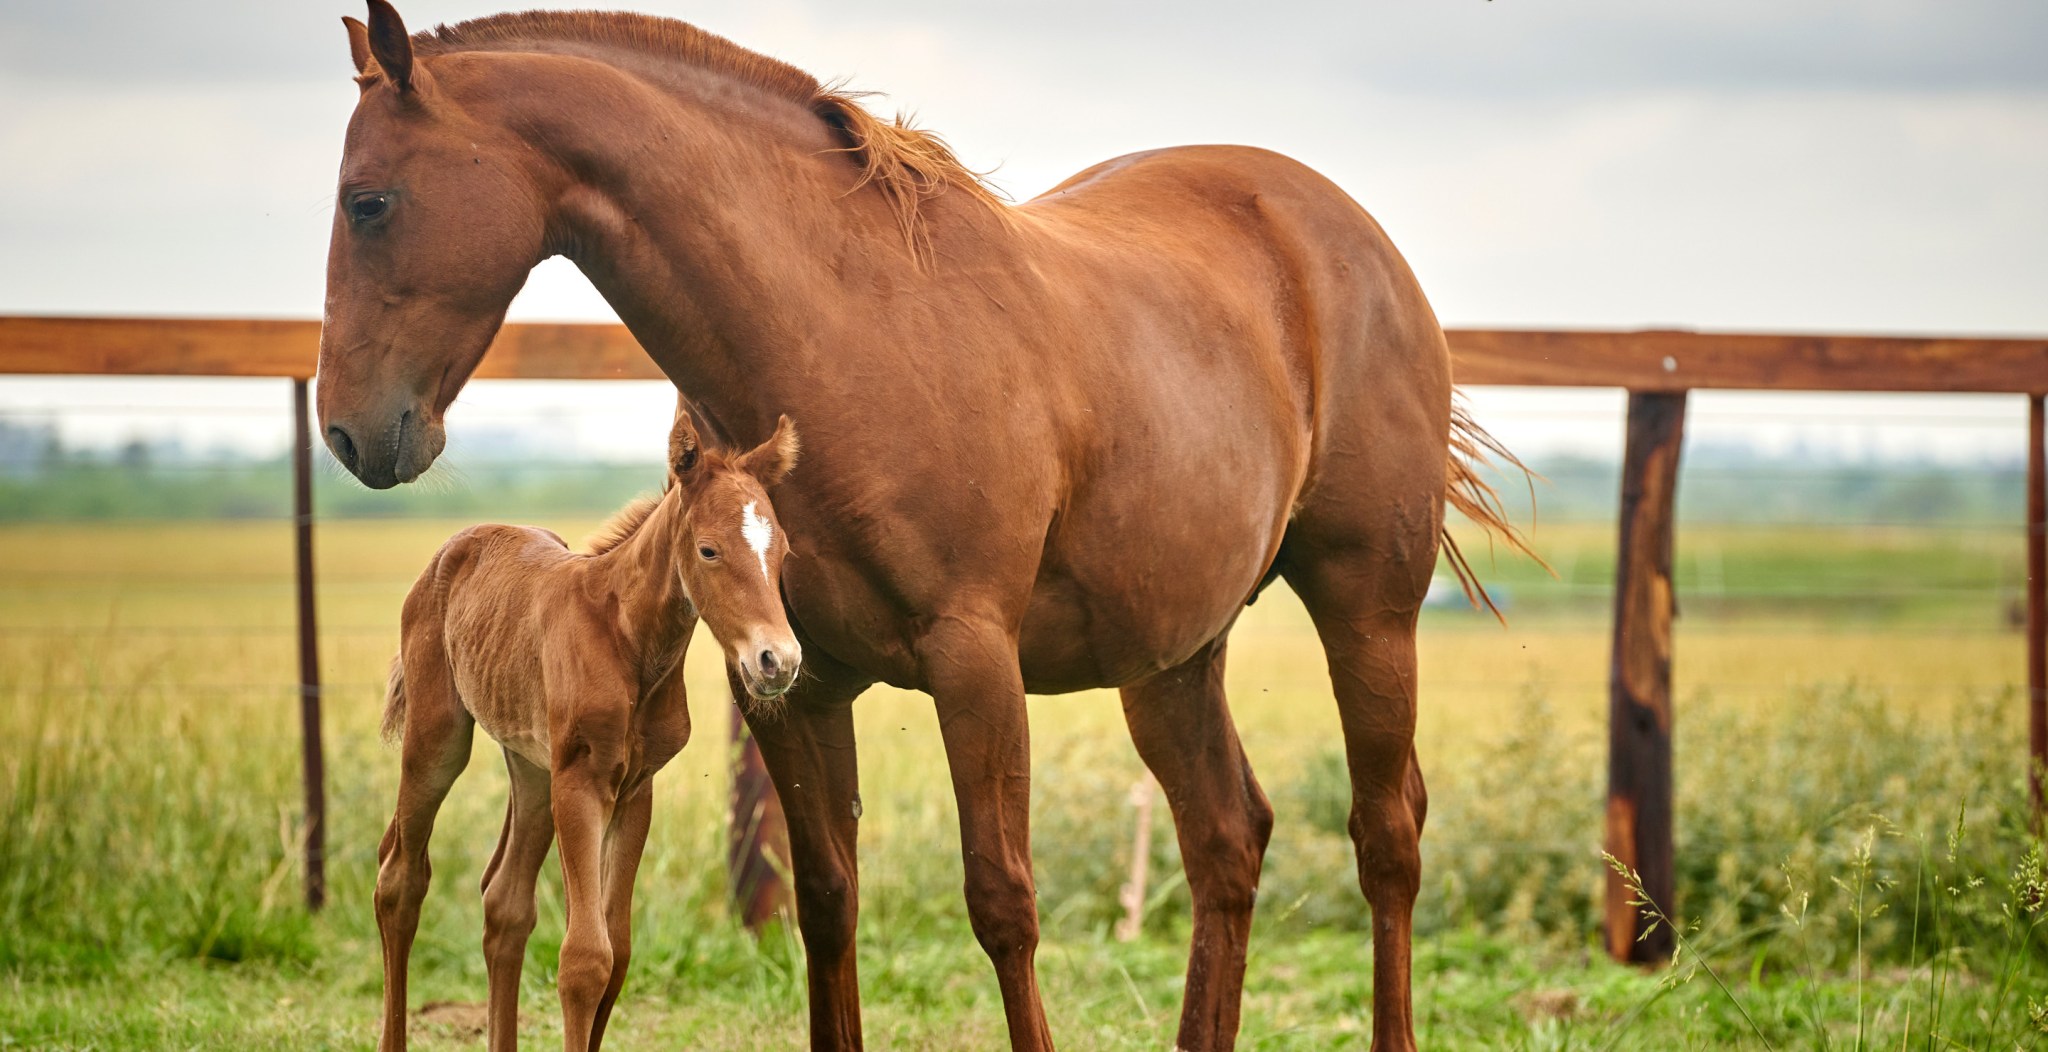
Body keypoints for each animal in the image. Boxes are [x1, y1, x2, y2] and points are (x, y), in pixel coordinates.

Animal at [373, 408, 801, 1052]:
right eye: (709, 550)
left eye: (783, 551)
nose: (778, 661)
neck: (628, 642)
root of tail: (455, 545)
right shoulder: (581, 783)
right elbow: (585, 958)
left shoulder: (635, 790)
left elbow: (617, 953)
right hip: (439, 738)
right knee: (399, 878)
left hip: (532, 767)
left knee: (505, 901)